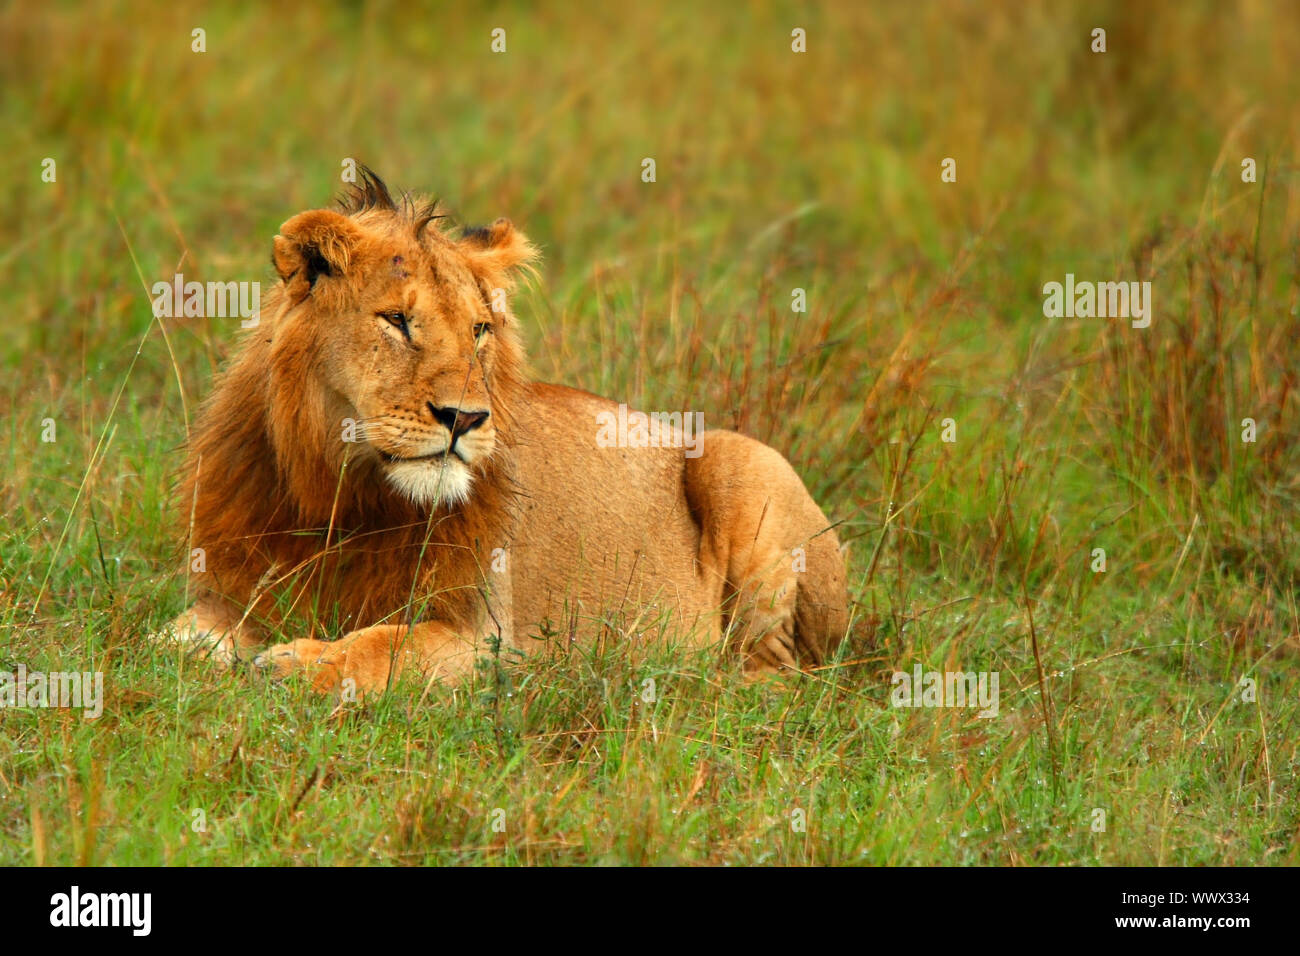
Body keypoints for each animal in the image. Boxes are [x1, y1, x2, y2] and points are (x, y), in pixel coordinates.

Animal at [156, 168, 848, 694]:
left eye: (479, 330)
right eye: (397, 321)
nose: (463, 418)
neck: (341, 490)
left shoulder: (485, 640)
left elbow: (386, 647)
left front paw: (299, 662)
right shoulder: (225, 593)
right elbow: (169, 641)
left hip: (742, 460)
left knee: (776, 675)